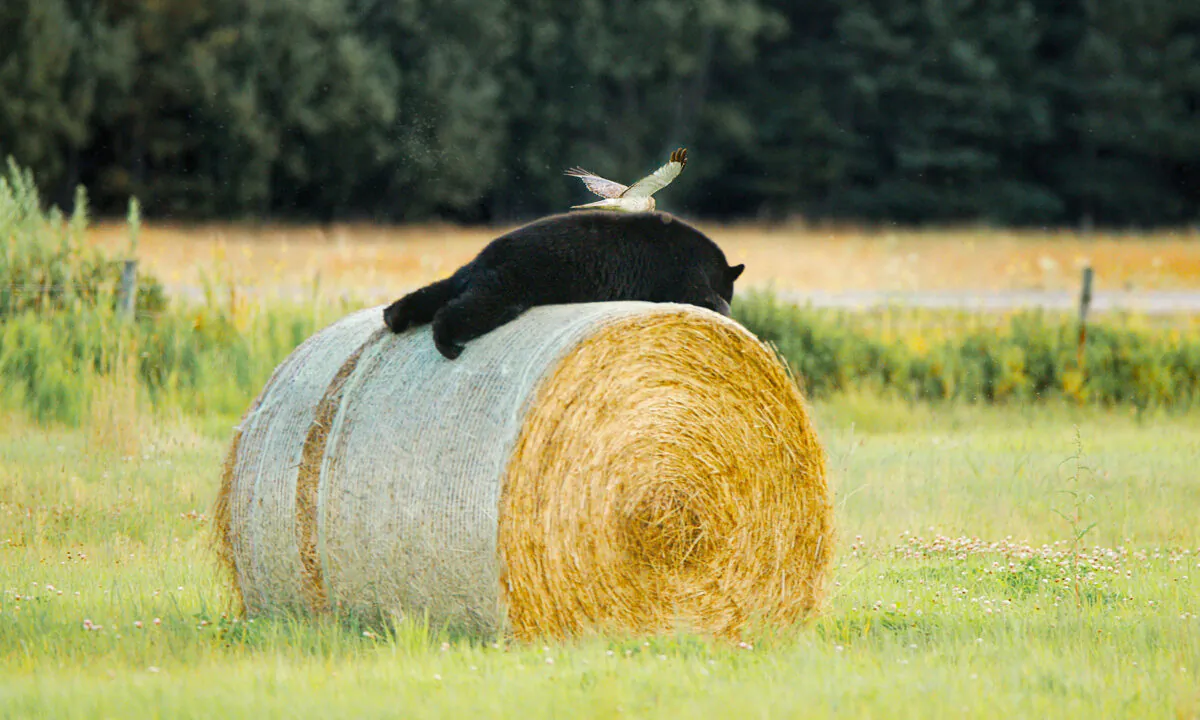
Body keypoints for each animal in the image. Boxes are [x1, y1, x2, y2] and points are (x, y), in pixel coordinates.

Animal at [382, 210, 745, 360]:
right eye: (730, 290)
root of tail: (483, 257)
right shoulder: (680, 268)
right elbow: (698, 295)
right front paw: (724, 309)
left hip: (473, 275)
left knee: (434, 292)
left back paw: (393, 316)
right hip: (513, 280)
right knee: (472, 307)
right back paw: (448, 343)